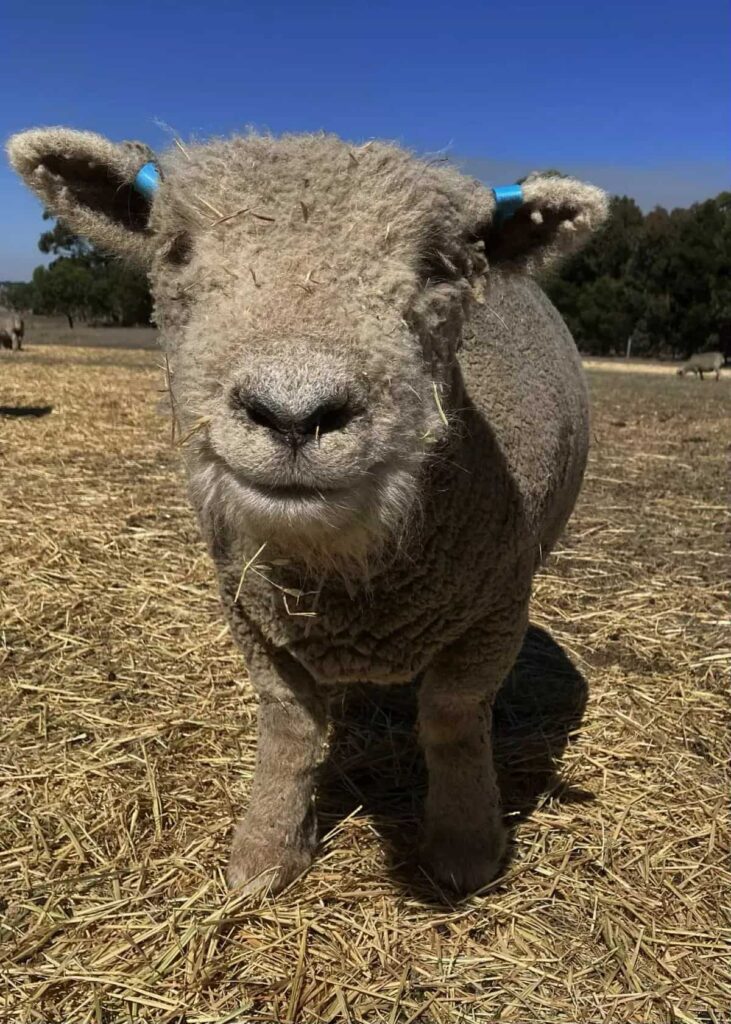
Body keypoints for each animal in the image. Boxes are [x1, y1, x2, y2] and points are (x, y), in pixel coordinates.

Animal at [8, 127, 608, 894]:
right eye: (178, 250)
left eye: (438, 266)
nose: (293, 413)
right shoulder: (249, 607)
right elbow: (289, 728)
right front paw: (265, 856)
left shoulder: (497, 607)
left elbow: (452, 718)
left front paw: (463, 850)